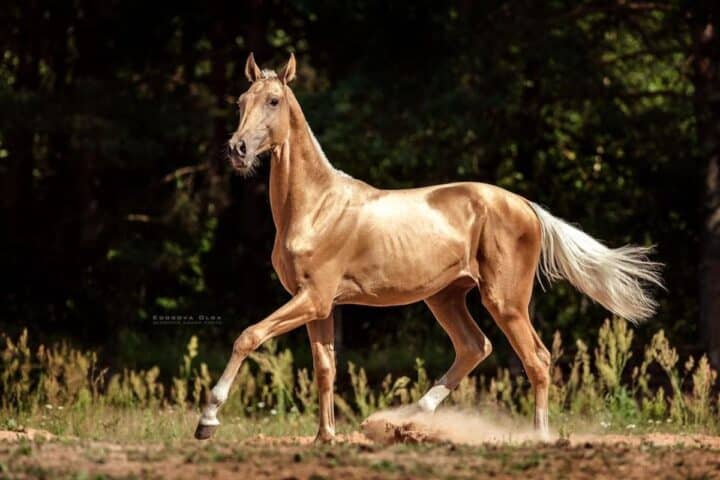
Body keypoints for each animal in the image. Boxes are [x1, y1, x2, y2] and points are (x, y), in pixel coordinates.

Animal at [194, 53, 663, 442]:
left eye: (274, 101)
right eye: (241, 101)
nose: (237, 149)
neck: (316, 207)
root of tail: (527, 207)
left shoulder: (314, 298)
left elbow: (248, 336)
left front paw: (208, 419)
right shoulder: (317, 304)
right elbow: (325, 368)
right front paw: (325, 439)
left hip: (505, 300)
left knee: (537, 359)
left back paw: (538, 437)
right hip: (446, 297)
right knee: (476, 347)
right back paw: (404, 417)